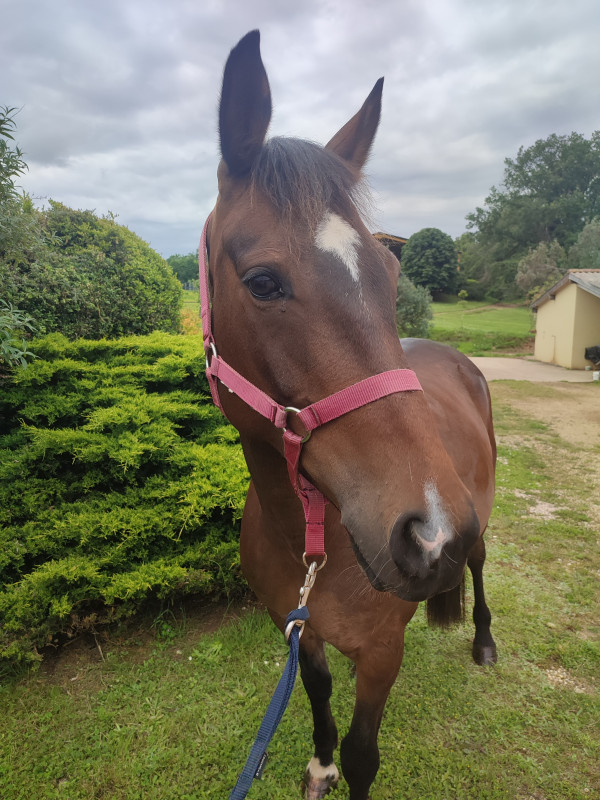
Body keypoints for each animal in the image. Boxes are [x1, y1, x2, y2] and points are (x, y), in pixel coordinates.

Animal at [202, 30, 497, 800]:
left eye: (391, 275)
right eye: (263, 282)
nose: (430, 535)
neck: (310, 534)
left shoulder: (383, 651)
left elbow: (366, 755)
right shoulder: (296, 629)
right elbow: (318, 700)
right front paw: (320, 764)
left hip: (482, 520)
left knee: (482, 565)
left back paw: (485, 639)